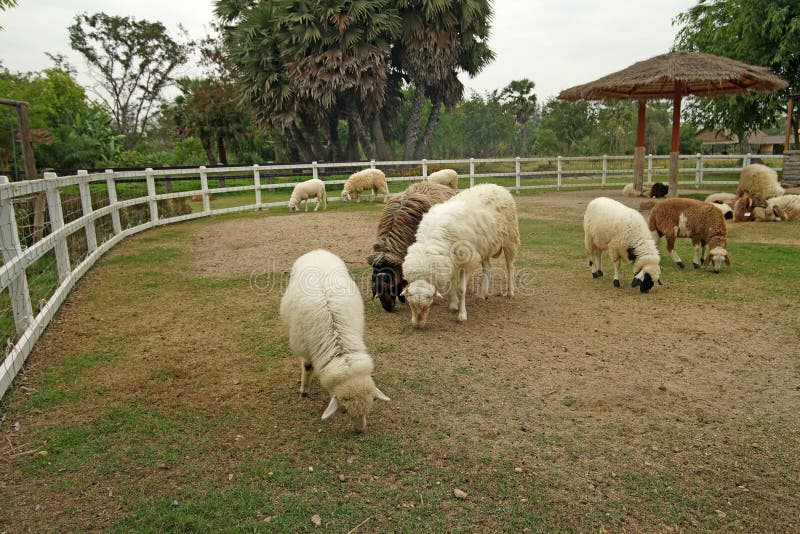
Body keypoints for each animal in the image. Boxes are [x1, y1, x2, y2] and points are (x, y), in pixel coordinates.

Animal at [280, 249, 390, 432]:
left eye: (371, 404)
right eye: (343, 410)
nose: (360, 430)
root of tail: (317, 251)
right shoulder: (304, 346)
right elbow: (307, 367)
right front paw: (304, 391)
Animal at [401, 183, 519, 327]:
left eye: (427, 305)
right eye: (411, 305)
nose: (417, 325)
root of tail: (497, 187)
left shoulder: (467, 262)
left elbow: (461, 289)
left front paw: (462, 315)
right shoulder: (451, 262)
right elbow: (452, 284)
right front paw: (453, 304)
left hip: (510, 238)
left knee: (510, 266)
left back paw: (510, 292)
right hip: (484, 245)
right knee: (487, 268)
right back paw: (482, 294)